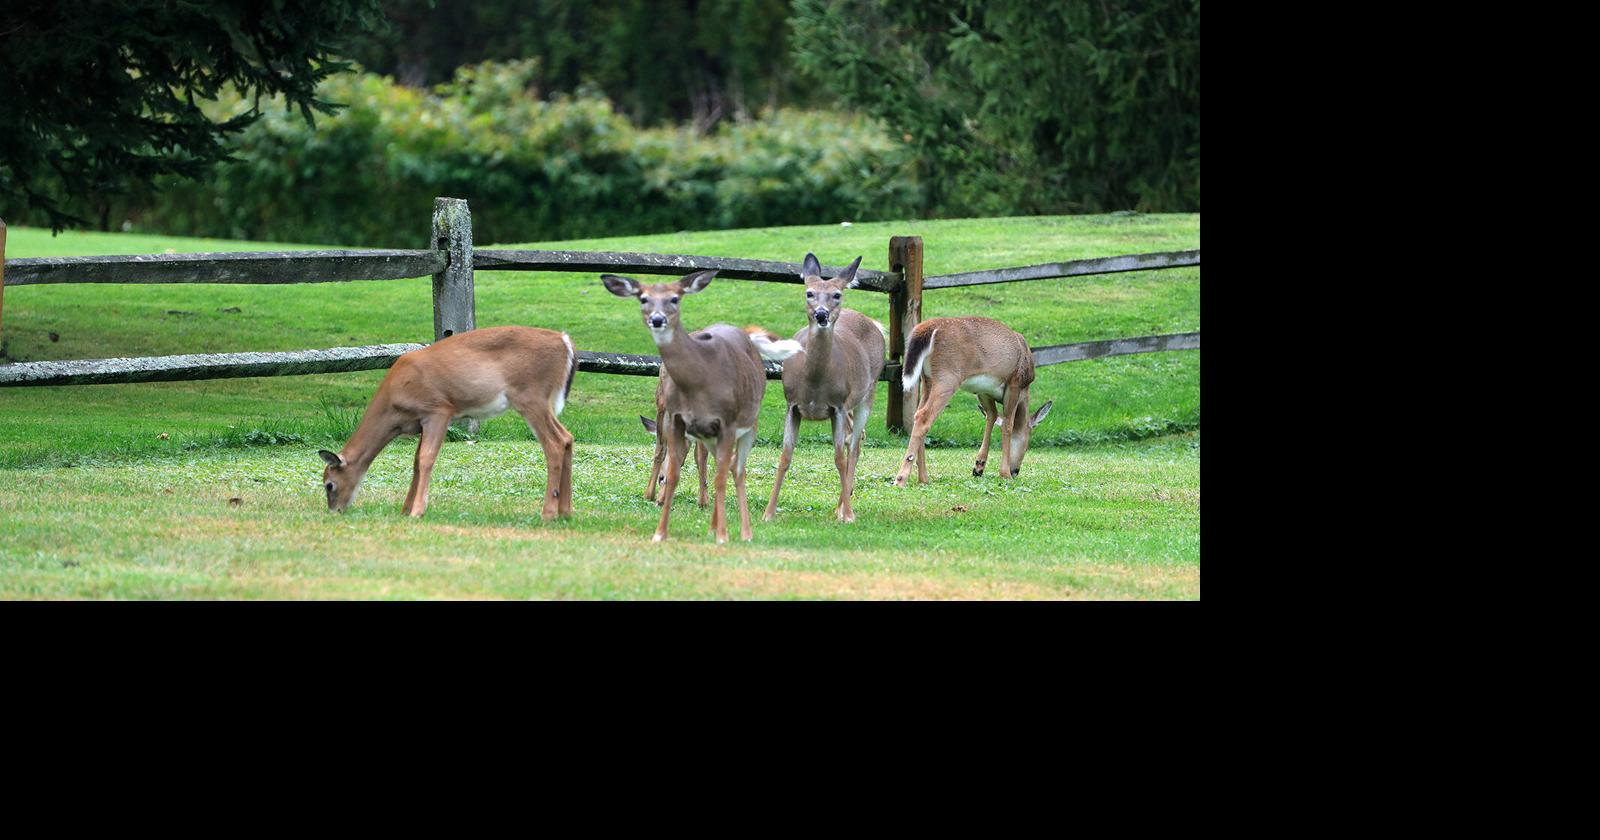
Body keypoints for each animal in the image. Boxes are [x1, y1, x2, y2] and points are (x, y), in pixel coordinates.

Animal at [317, 325, 576, 519]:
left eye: (329, 484)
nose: (334, 511)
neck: (393, 403)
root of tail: (565, 342)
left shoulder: (438, 409)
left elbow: (426, 459)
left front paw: (417, 511)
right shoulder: (421, 421)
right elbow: (415, 462)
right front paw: (405, 509)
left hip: (530, 395)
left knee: (554, 443)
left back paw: (547, 513)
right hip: (540, 401)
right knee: (567, 437)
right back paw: (565, 512)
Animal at [763, 253, 886, 523]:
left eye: (837, 294)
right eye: (809, 292)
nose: (821, 314)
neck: (814, 383)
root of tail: (873, 322)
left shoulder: (837, 406)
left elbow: (839, 458)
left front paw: (848, 515)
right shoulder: (792, 405)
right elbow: (785, 456)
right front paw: (768, 513)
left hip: (868, 392)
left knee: (855, 445)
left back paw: (843, 507)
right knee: (854, 438)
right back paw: (841, 502)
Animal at [892, 316, 1054, 487]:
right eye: (1028, 443)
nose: (1015, 471)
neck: (1025, 391)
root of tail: (925, 329)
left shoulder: (984, 391)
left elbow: (992, 416)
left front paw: (979, 467)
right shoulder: (1014, 383)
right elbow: (1008, 424)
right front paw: (1004, 474)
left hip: (926, 380)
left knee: (918, 414)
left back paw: (923, 479)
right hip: (948, 376)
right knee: (924, 416)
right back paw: (900, 479)